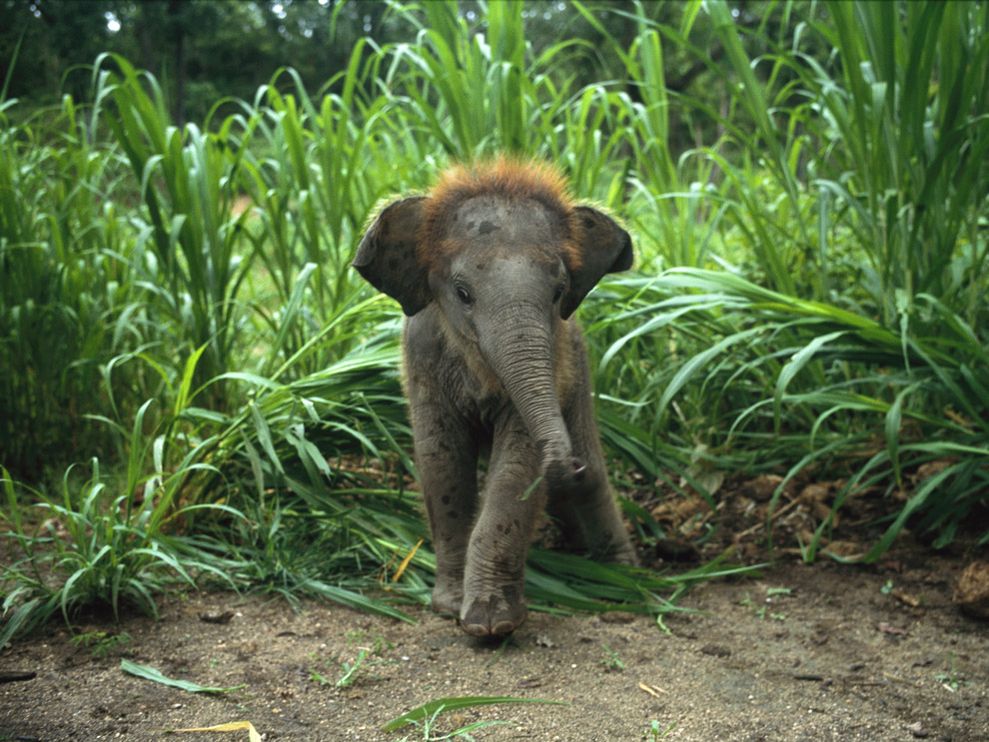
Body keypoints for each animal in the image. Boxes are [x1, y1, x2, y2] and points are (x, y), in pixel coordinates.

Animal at [353, 159, 637, 637]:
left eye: (559, 292)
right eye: (463, 293)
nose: (566, 463)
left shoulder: (555, 361)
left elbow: (516, 469)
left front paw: (491, 625)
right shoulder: (422, 359)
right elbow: (442, 462)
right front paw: (450, 608)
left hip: (580, 372)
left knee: (593, 479)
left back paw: (622, 580)